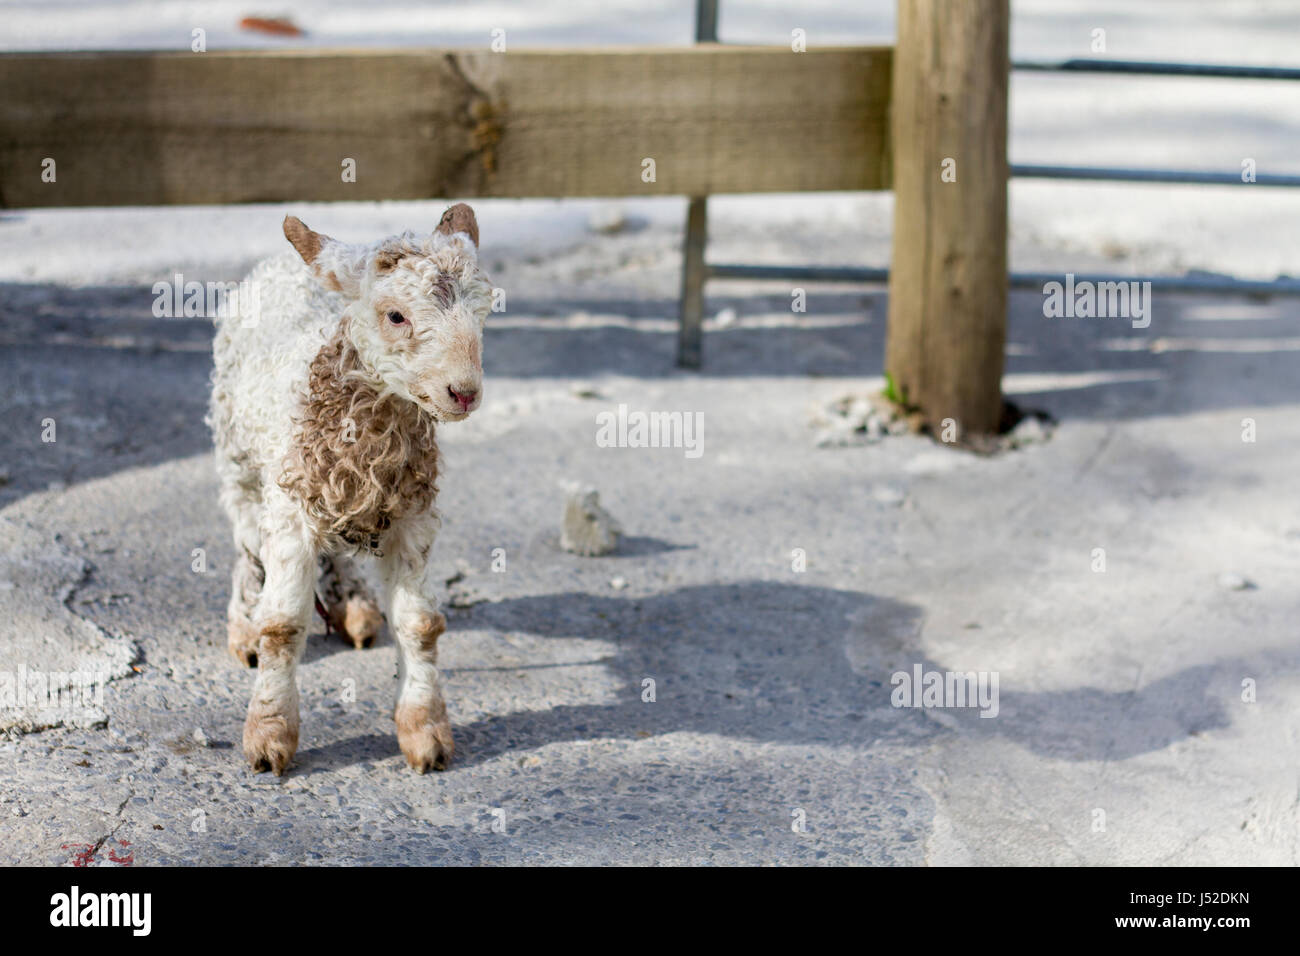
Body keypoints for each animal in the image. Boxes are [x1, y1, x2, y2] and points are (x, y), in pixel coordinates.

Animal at [207, 203, 490, 775]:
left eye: (483, 311)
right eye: (396, 316)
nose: (464, 392)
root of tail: (280, 263)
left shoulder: (412, 514)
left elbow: (420, 623)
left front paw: (424, 732)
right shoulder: (289, 510)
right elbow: (283, 625)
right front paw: (269, 734)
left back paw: (355, 607)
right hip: (238, 457)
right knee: (246, 540)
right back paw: (243, 623)